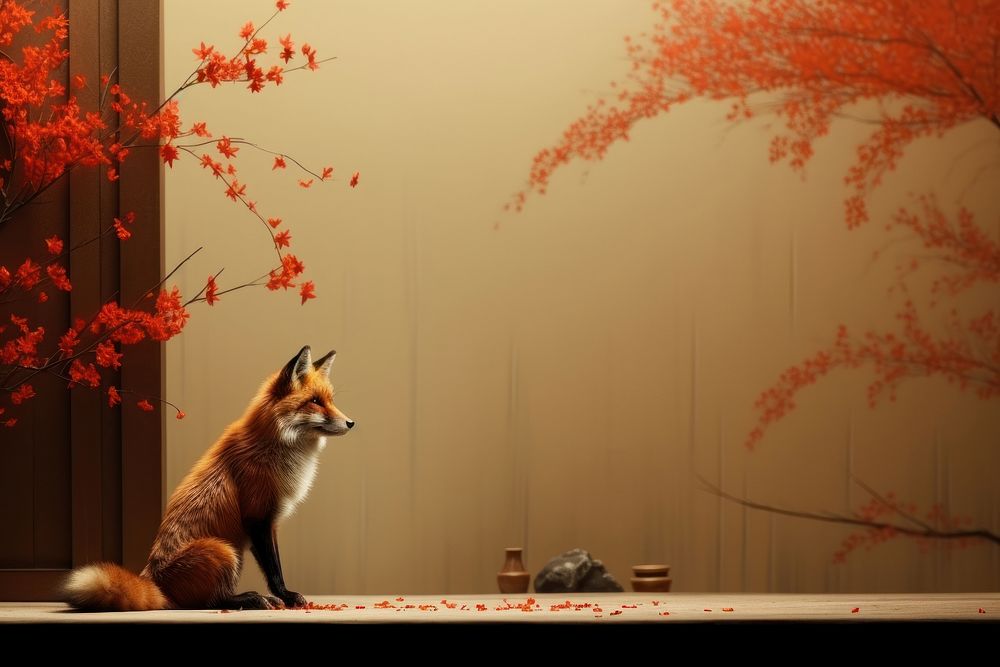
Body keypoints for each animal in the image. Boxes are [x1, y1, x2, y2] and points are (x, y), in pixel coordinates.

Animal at [63, 345, 354, 611]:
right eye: (315, 401)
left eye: (331, 400)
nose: (352, 423)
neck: (274, 446)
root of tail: (152, 580)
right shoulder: (258, 515)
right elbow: (274, 569)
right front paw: (286, 596)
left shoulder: (269, 522)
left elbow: (274, 564)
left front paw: (283, 596)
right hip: (224, 551)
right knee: (208, 601)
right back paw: (249, 599)